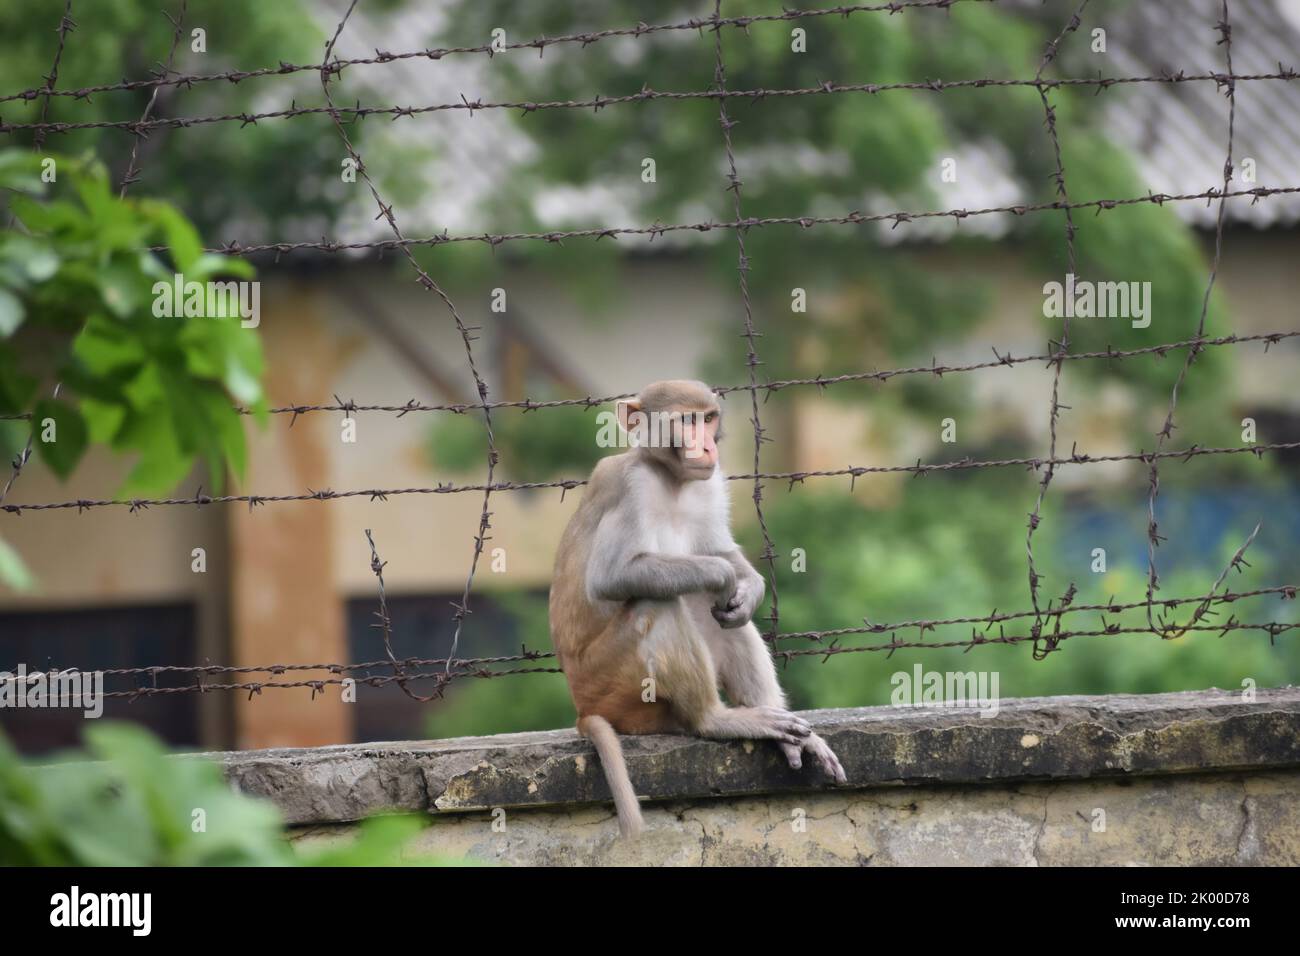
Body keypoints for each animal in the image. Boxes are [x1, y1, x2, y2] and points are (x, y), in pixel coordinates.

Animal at [549, 379, 846, 838]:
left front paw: (749, 588)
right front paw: (723, 575)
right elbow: (612, 577)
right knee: (658, 600)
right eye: (687, 421)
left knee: (713, 613)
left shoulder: (709, 482)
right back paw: (714, 719)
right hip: (613, 683)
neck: (671, 479)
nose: (706, 447)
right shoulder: (631, 486)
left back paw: (782, 728)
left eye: (708, 419)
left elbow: (720, 554)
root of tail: (585, 708)